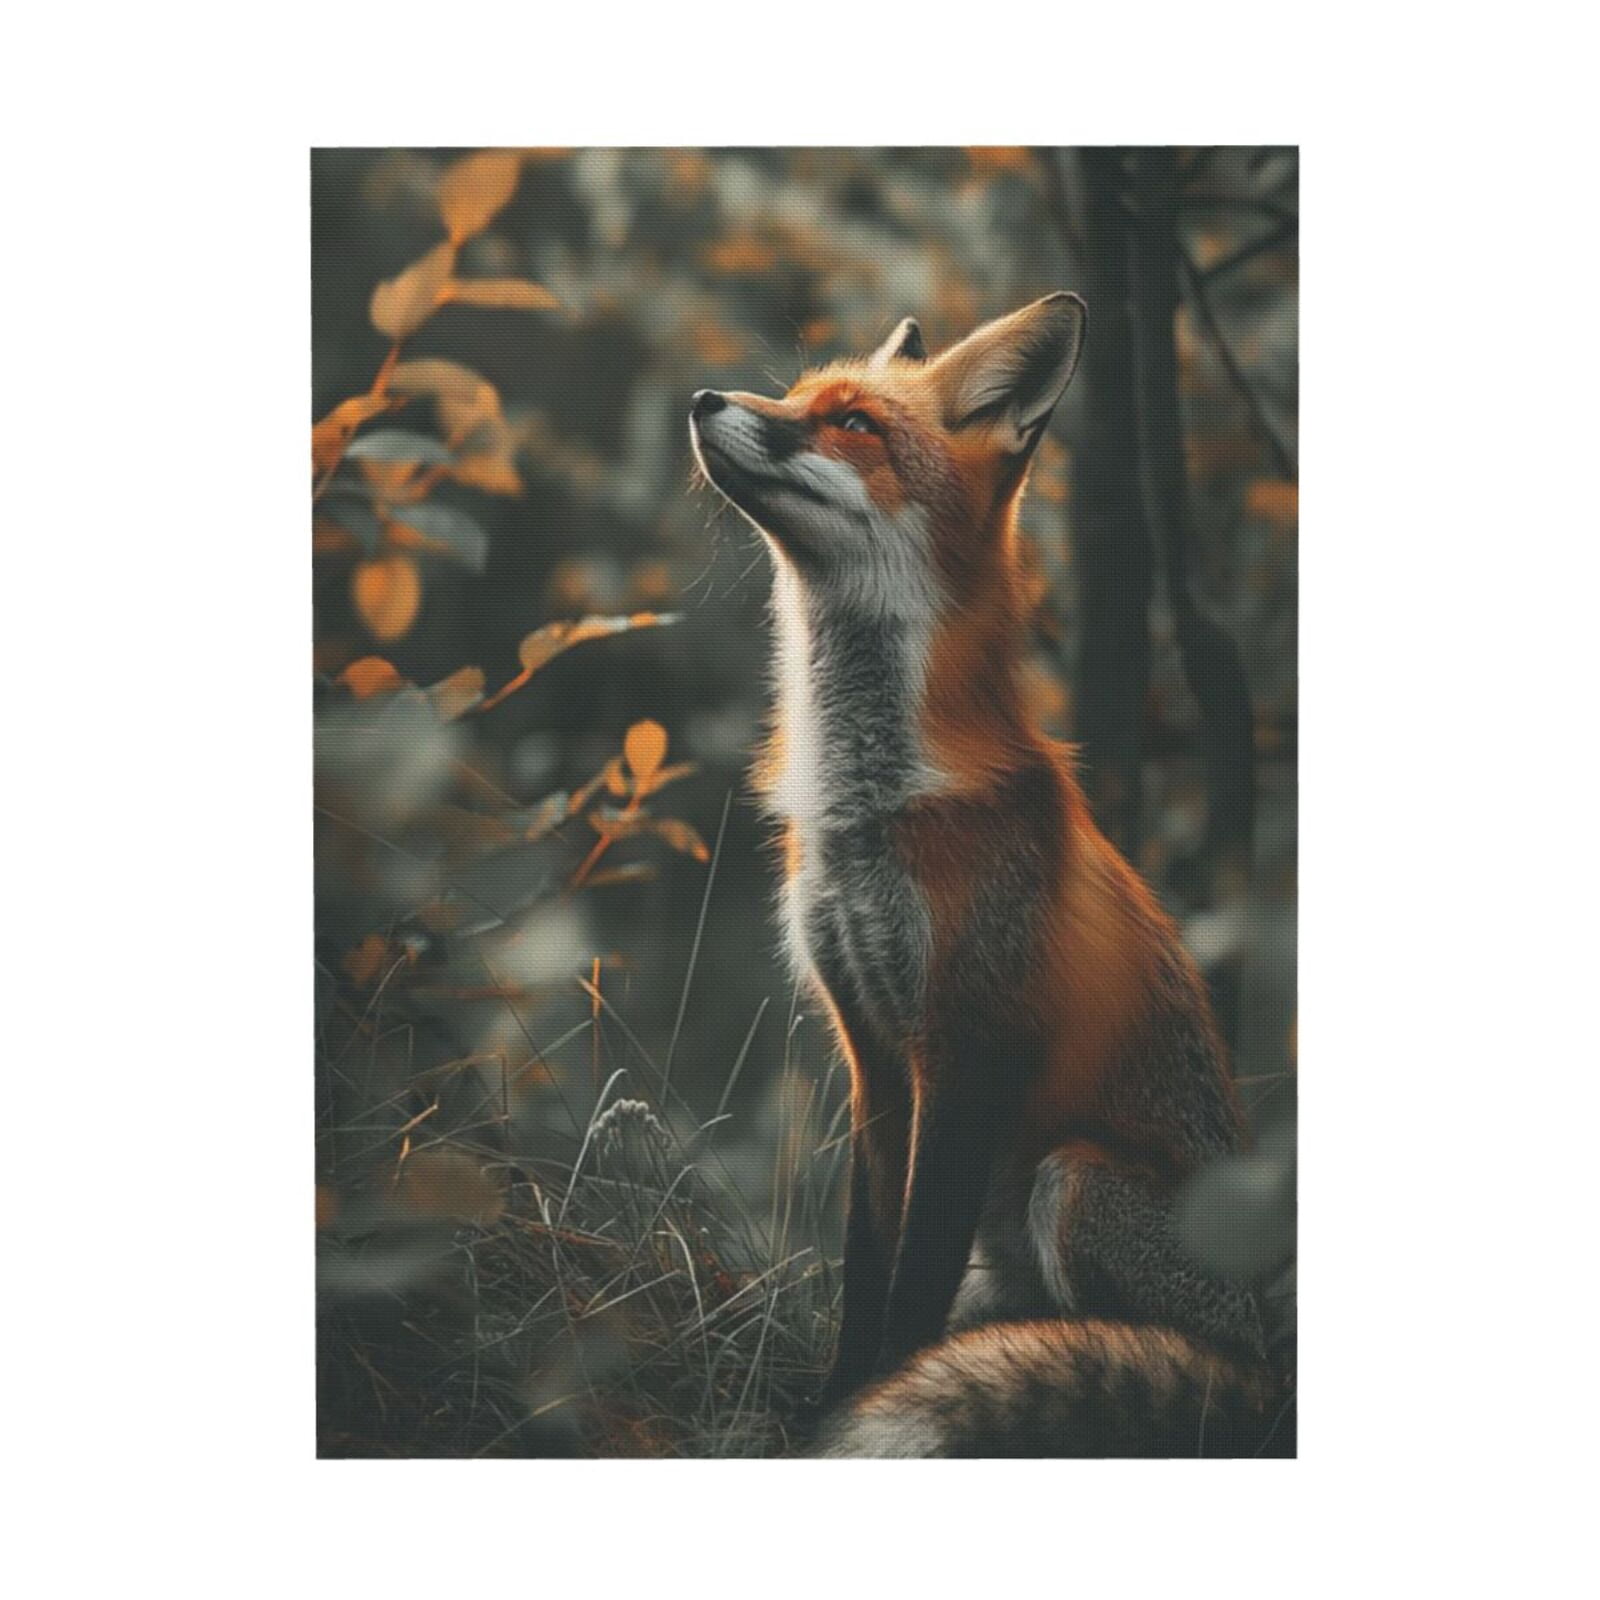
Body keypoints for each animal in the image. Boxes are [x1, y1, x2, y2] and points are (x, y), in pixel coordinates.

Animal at [688, 293, 1278, 1457]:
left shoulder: (968, 1043)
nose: (702, 398)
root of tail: (1275, 1354)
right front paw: (835, 1397)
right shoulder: (872, 1047)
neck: (868, 805)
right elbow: (867, 1263)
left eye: (853, 423)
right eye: (795, 396)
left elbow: (913, 1277)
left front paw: (875, 1398)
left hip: (1074, 1180)